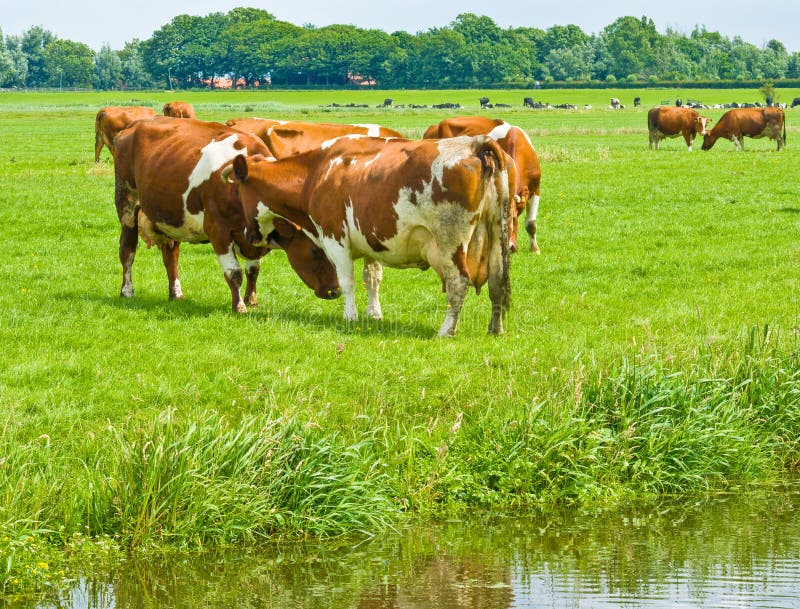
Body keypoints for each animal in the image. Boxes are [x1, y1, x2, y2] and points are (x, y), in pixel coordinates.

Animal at [112, 117, 340, 312]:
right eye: (315, 251)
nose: (335, 290)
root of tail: (135, 124)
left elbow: (253, 269)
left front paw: (251, 300)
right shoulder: (218, 231)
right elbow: (234, 272)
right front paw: (239, 306)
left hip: (171, 217)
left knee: (171, 255)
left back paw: (176, 294)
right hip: (127, 204)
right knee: (127, 251)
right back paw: (127, 291)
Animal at [226, 135, 513, 337]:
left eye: (239, 193)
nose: (248, 234)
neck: (317, 173)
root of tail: (476, 143)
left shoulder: (335, 238)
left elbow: (348, 281)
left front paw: (350, 316)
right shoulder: (370, 240)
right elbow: (372, 278)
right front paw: (374, 314)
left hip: (450, 241)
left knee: (459, 282)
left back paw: (446, 330)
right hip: (497, 234)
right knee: (497, 282)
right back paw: (496, 328)